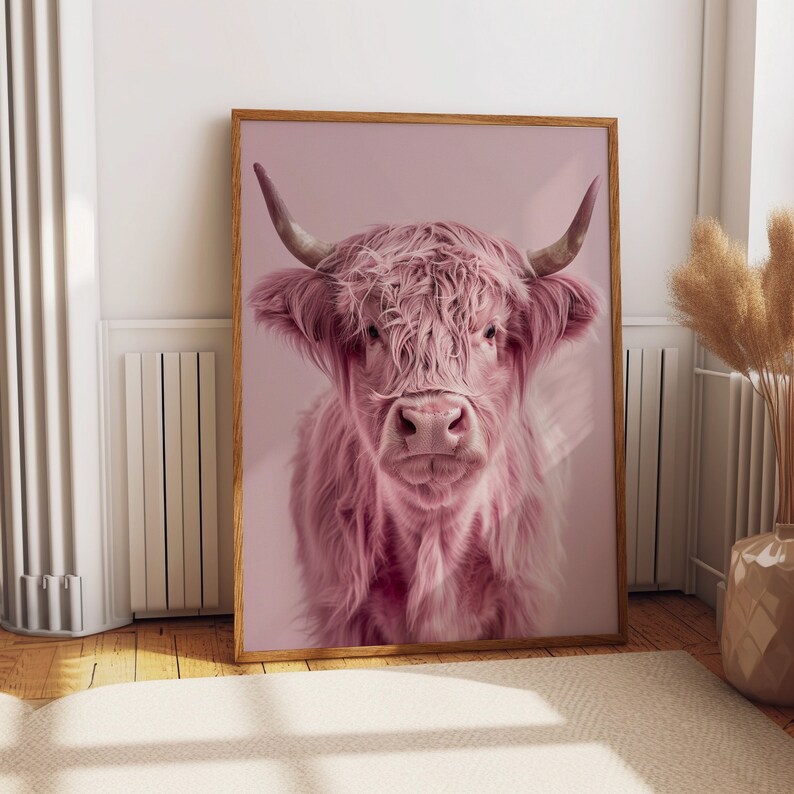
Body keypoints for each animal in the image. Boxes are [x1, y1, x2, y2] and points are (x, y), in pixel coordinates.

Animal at [248, 162, 602, 648]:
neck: (435, 539)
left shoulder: (526, 600)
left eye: (490, 330)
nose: (432, 422)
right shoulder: (340, 610)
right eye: (372, 331)